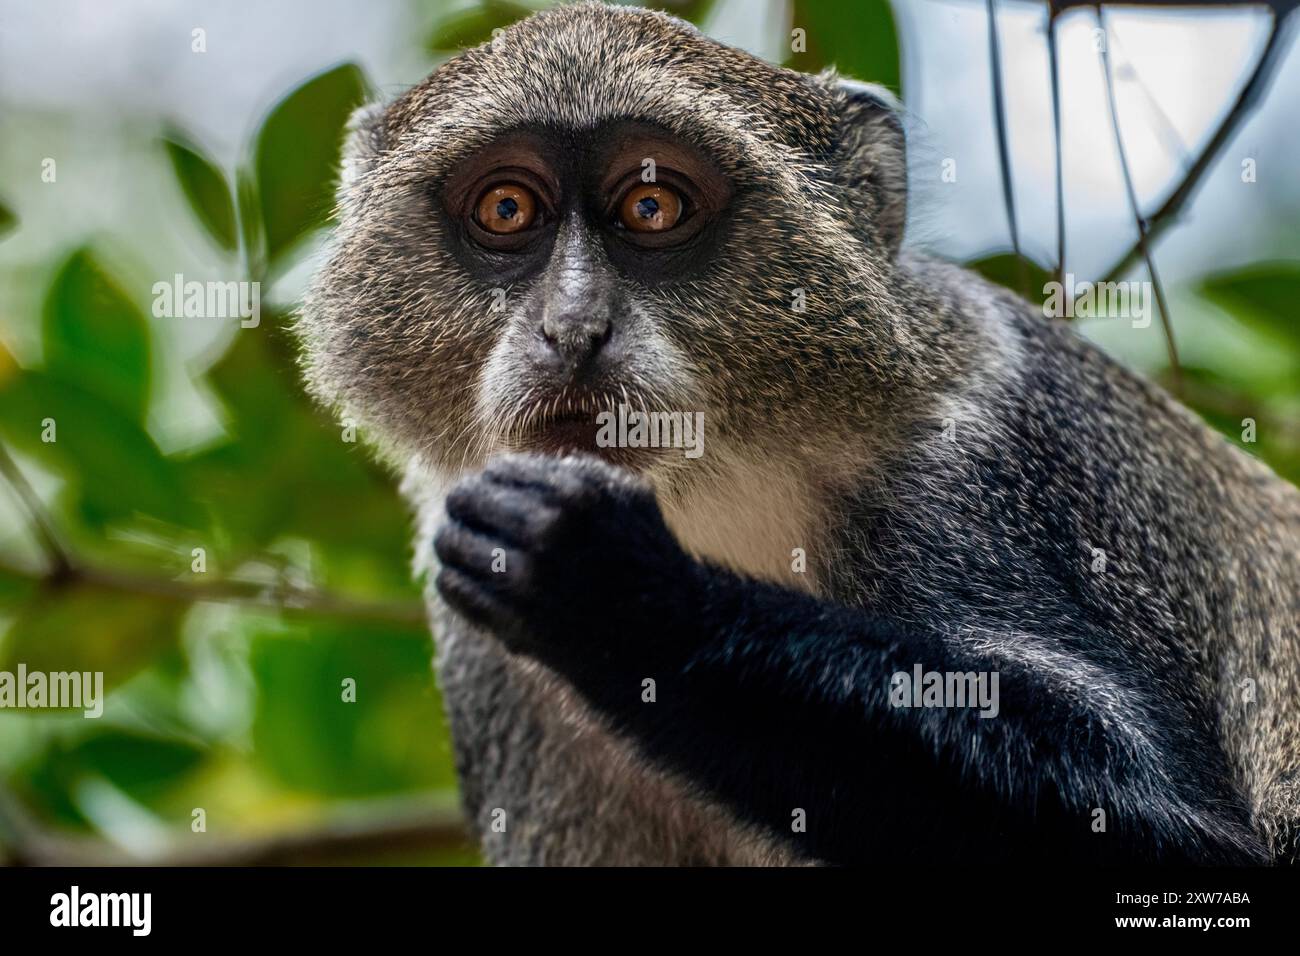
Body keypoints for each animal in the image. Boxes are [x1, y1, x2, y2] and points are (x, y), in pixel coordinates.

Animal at [297, 2, 1300, 865]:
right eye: (507, 210)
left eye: (652, 208)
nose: (574, 326)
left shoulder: (984, 459)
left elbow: (1176, 834)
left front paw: (625, 591)